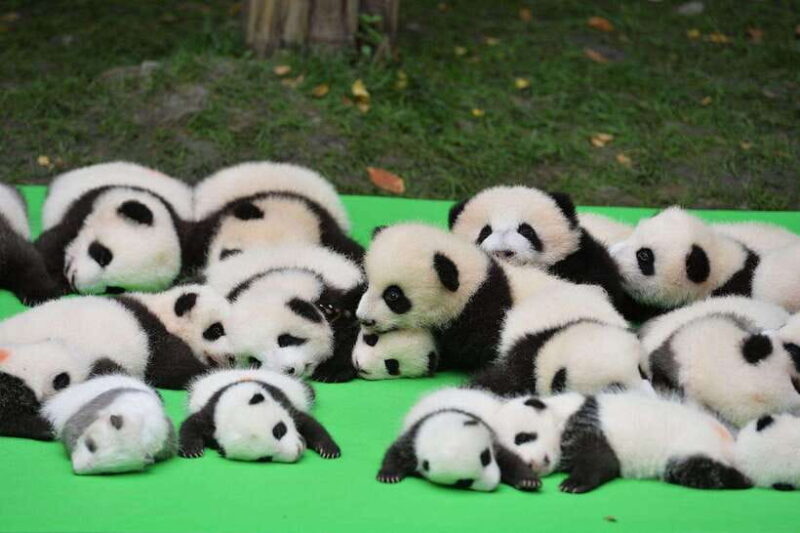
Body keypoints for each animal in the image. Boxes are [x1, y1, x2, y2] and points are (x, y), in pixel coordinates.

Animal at [43, 375, 176, 475]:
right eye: (91, 446)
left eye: (108, 471)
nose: (76, 468)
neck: (141, 419)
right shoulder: (97, 407)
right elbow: (71, 428)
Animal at [179, 369, 340, 462]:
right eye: (265, 458)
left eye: (279, 430)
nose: (298, 451)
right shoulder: (211, 413)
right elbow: (191, 424)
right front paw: (192, 450)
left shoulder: (281, 400)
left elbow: (309, 423)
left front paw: (329, 450)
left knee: (309, 390)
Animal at [377, 387, 541, 492]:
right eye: (464, 482)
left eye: (486, 458)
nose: (494, 483)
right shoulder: (414, 436)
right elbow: (397, 452)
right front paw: (388, 475)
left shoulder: (490, 435)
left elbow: (509, 459)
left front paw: (528, 481)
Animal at [492, 390, 751, 493]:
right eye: (512, 450)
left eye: (523, 437)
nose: (531, 463)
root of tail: (730, 442)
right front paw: (525, 479)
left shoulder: (588, 423)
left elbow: (602, 461)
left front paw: (573, 484)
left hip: (692, 442)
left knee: (700, 470)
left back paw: (741, 478)